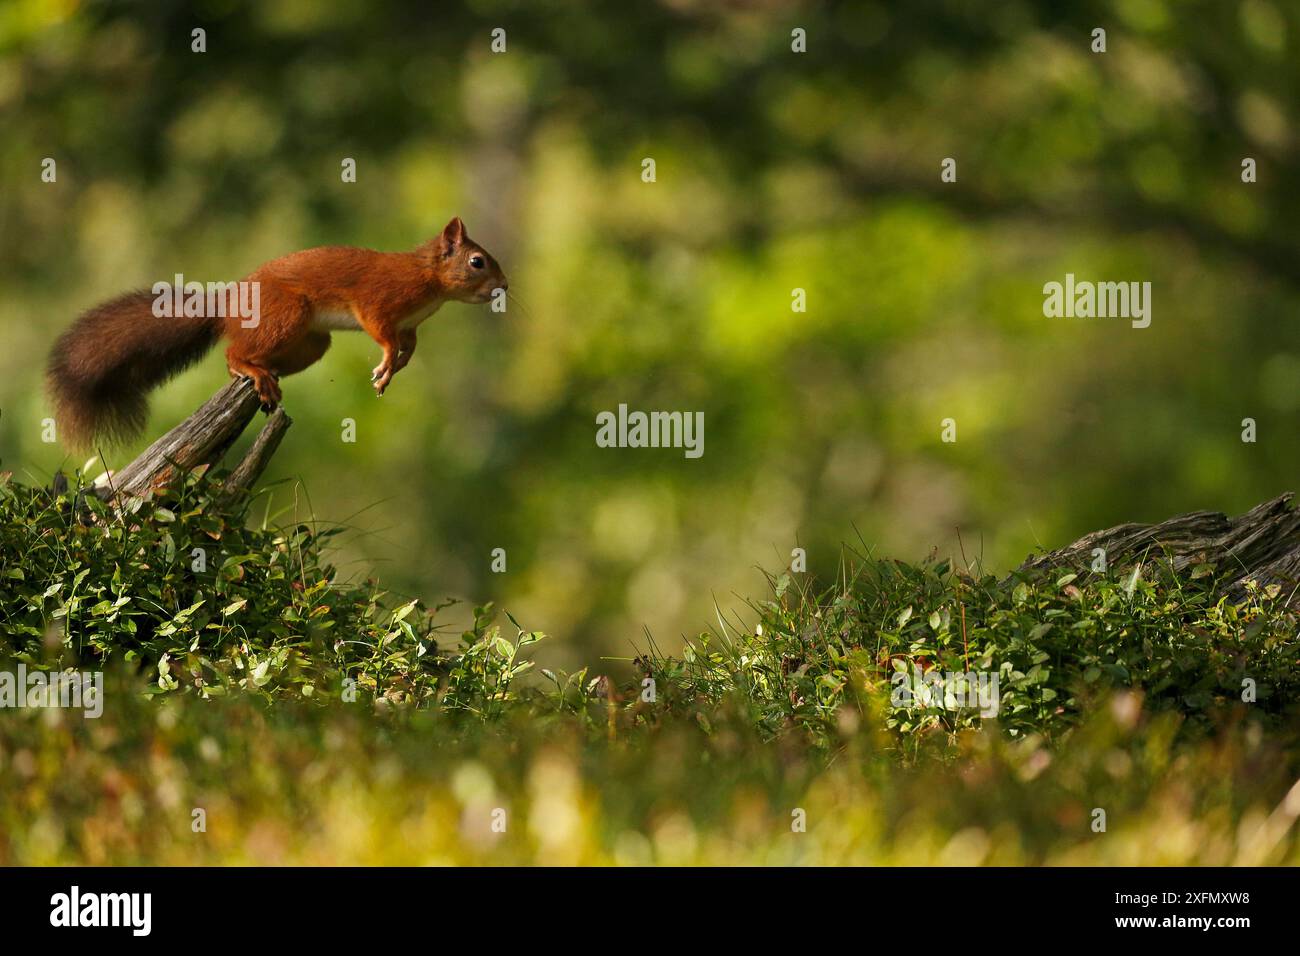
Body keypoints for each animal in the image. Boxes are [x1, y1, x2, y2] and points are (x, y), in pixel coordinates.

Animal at [46, 216, 506, 450]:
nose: (503, 287)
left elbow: (408, 346)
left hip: (313, 342)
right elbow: (382, 332)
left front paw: (393, 368)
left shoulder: (411, 325)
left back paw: (269, 377)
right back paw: (252, 372)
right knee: (232, 353)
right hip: (286, 313)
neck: (429, 281)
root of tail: (228, 303)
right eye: (478, 262)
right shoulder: (378, 302)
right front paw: (387, 362)